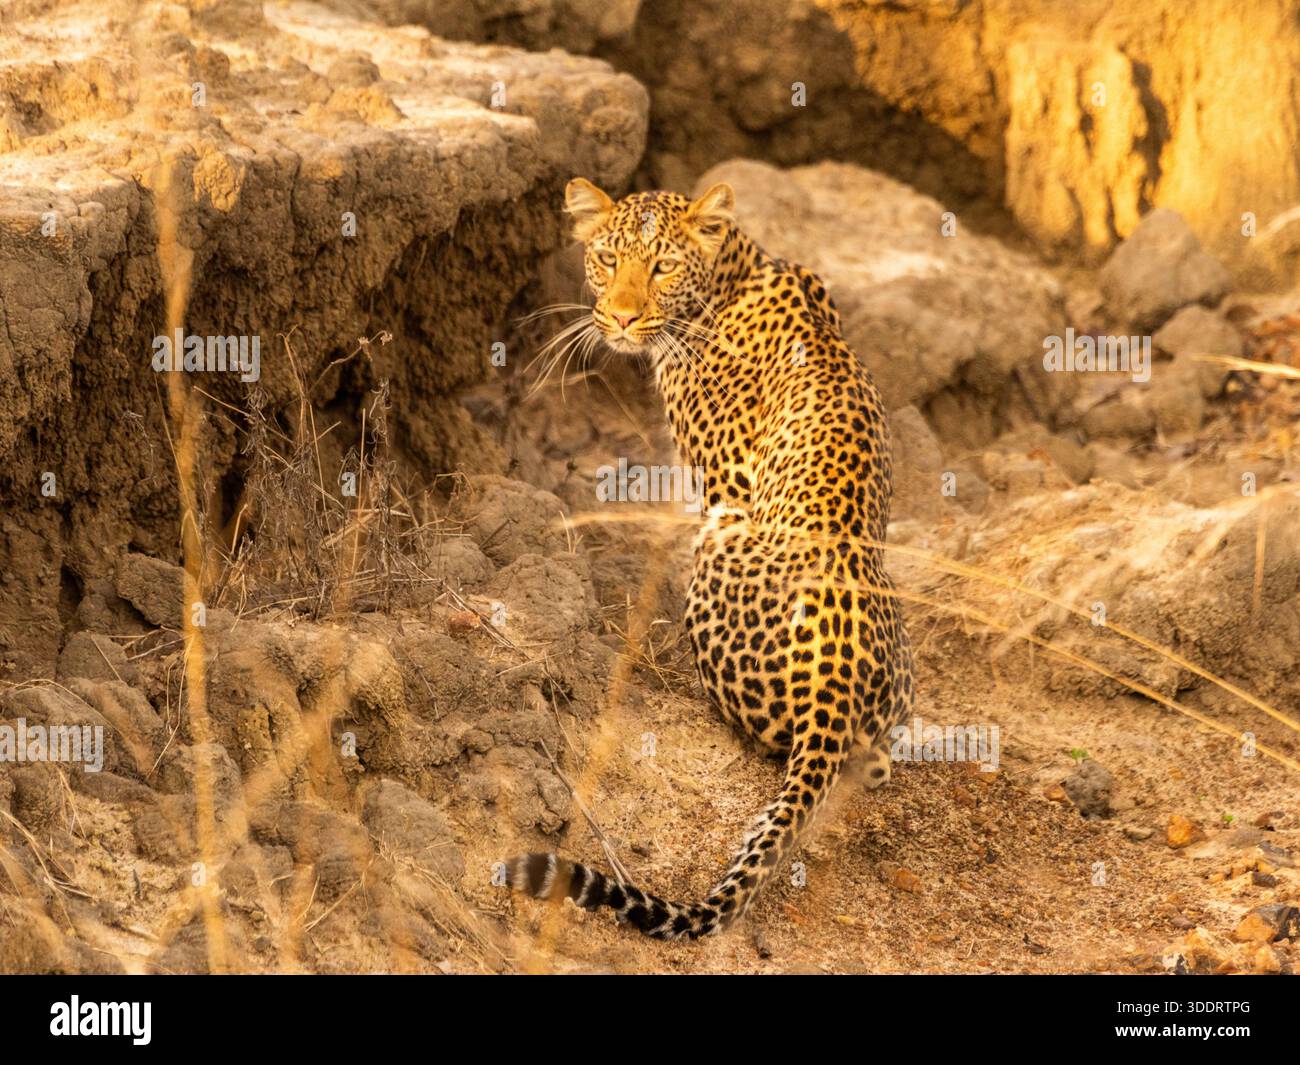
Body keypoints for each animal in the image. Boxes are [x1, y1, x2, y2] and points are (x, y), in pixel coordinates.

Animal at [502, 176, 915, 940]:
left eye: (663, 267)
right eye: (607, 259)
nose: (623, 318)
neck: (737, 269)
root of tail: (834, 687)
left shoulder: (722, 485)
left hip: (721, 545)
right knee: (871, 768)